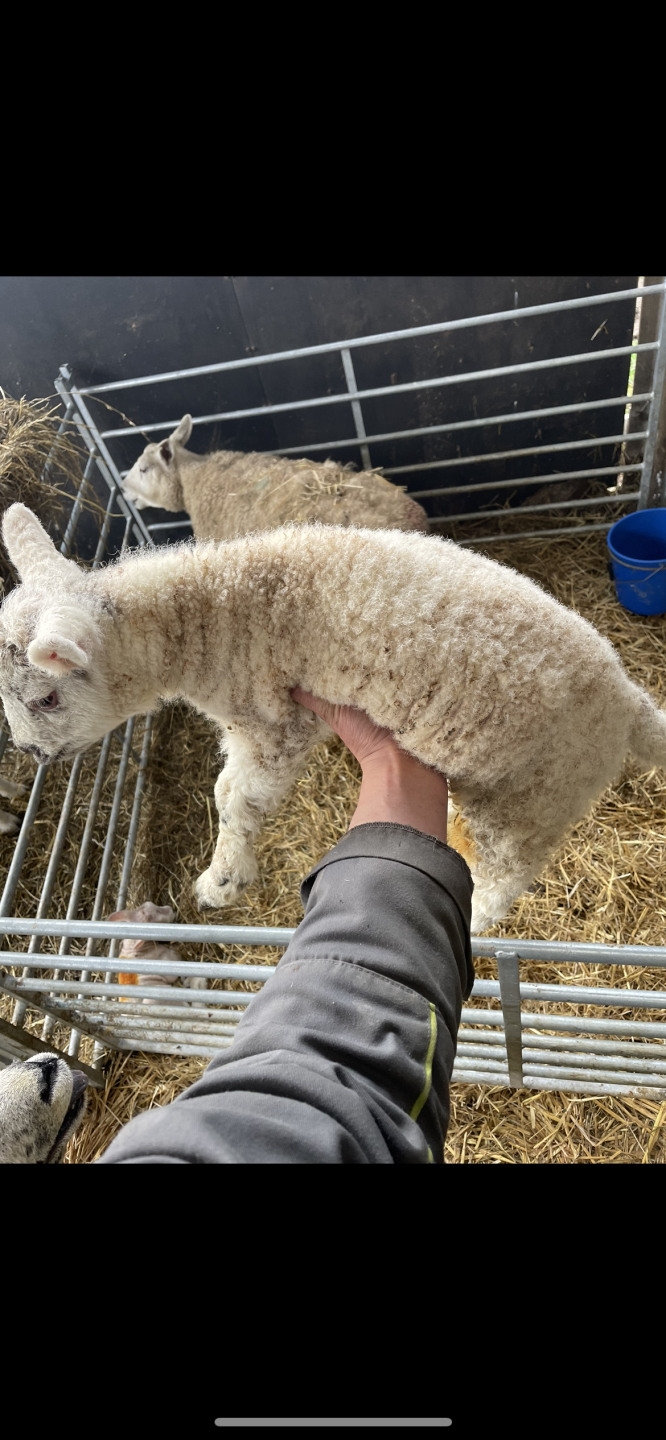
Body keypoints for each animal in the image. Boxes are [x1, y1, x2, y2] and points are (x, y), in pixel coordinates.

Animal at [2, 501, 666, 935]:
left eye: (46, 699)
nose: (32, 754)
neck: (211, 610)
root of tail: (628, 698)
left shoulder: (275, 719)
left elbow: (233, 797)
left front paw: (224, 879)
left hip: (535, 797)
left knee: (508, 871)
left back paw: (477, 916)